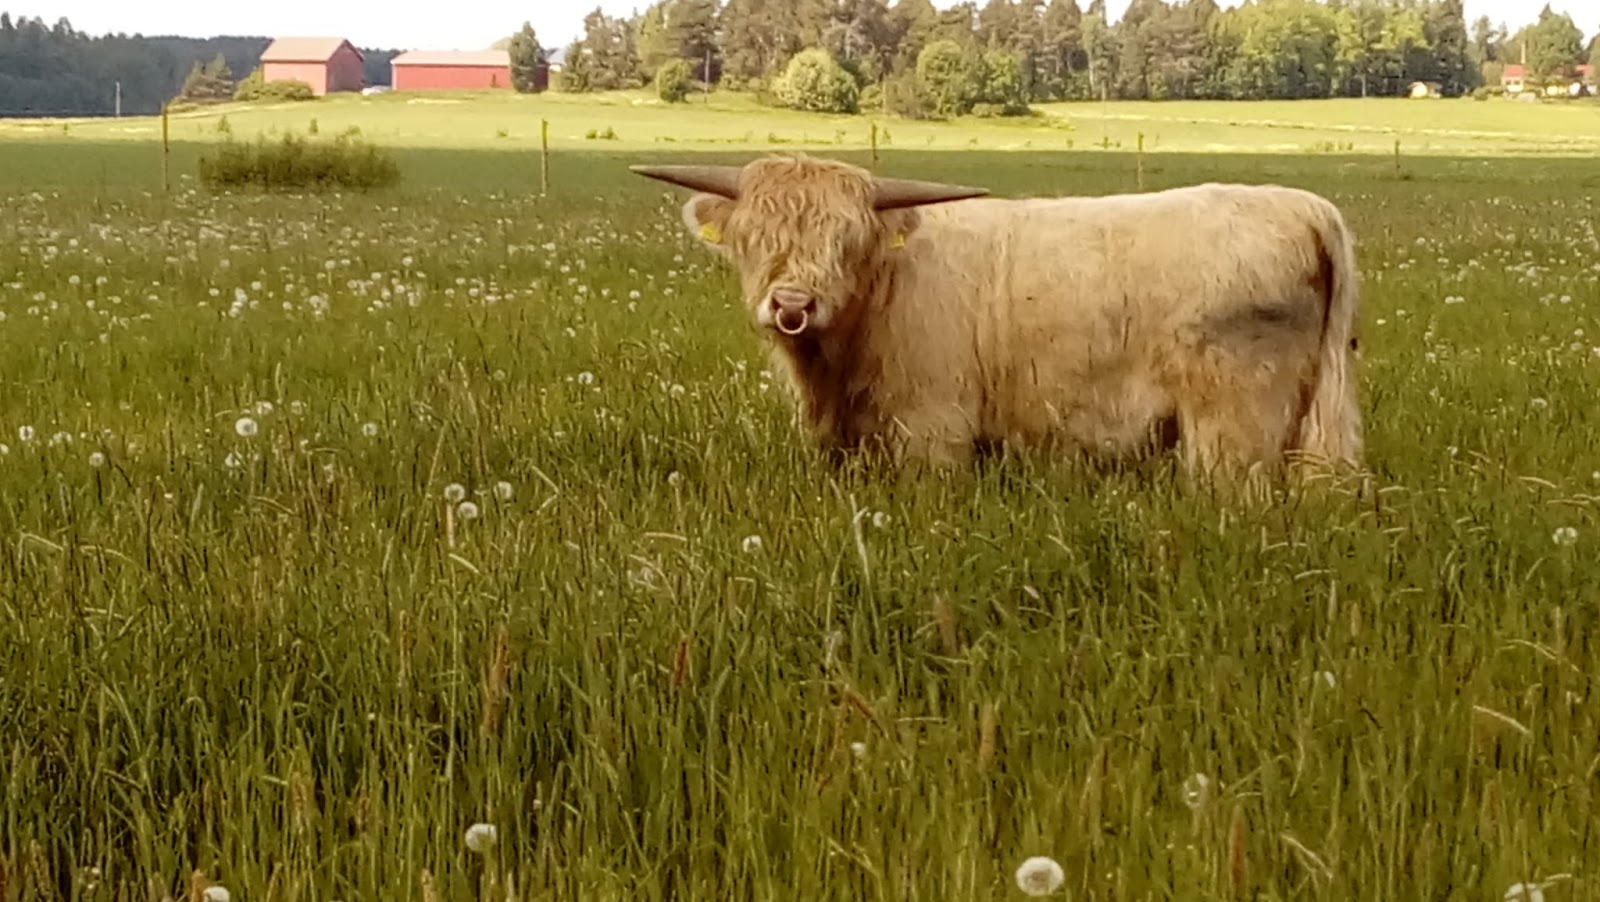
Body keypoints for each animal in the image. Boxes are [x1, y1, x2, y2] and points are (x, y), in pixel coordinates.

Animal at [631, 155, 1364, 489]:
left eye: (848, 240)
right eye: (753, 238)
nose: (791, 305)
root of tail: (1303, 205)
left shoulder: (931, 433)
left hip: (1233, 430)